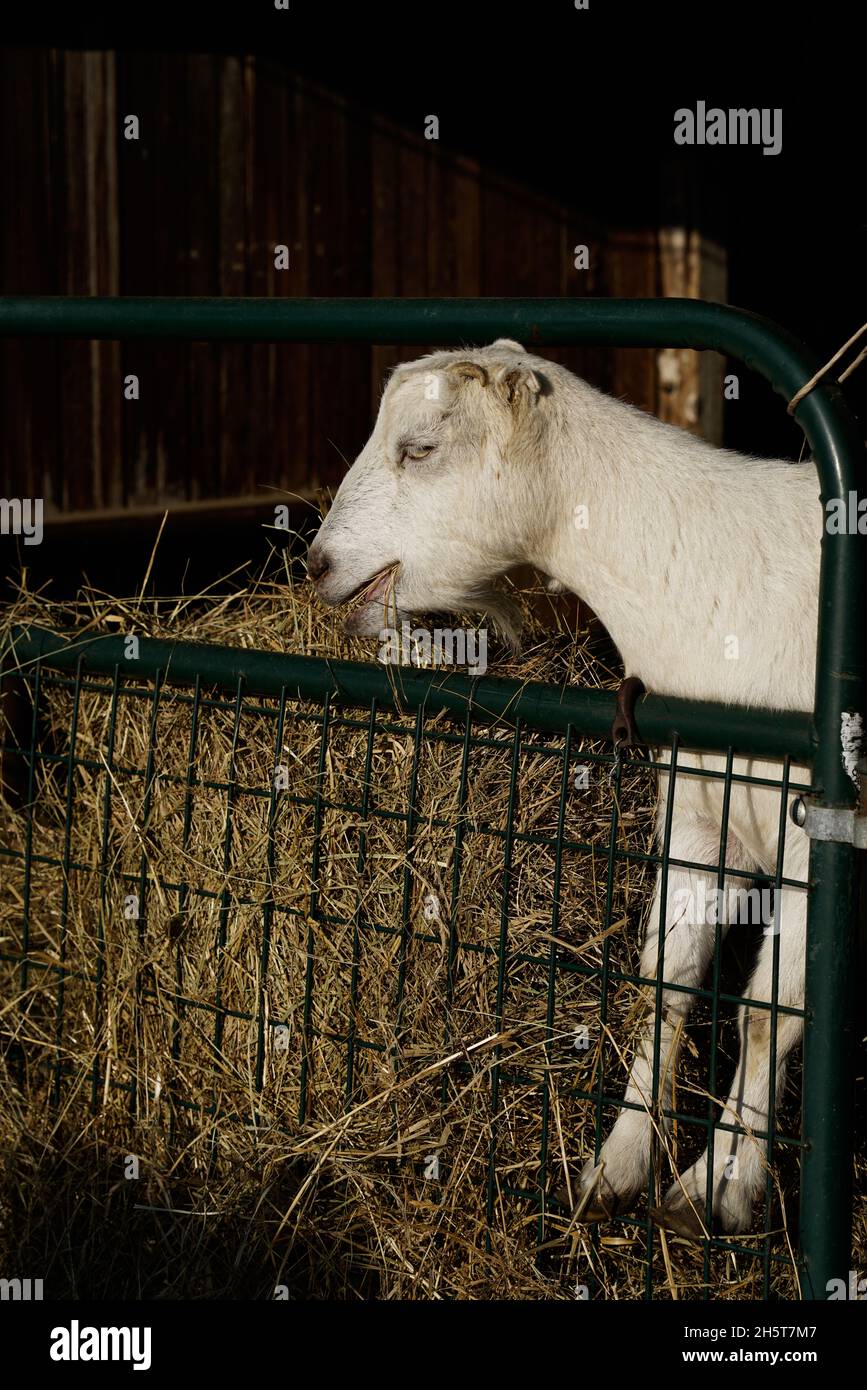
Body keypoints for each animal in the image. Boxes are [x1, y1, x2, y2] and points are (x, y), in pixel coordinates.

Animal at [308, 338, 823, 1237]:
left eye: (420, 448)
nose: (317, 564)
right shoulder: (701, 816)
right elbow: (662, 989)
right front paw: (616, 1168)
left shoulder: (816, 840)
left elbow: (766, 1014)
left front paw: (718, 1187)